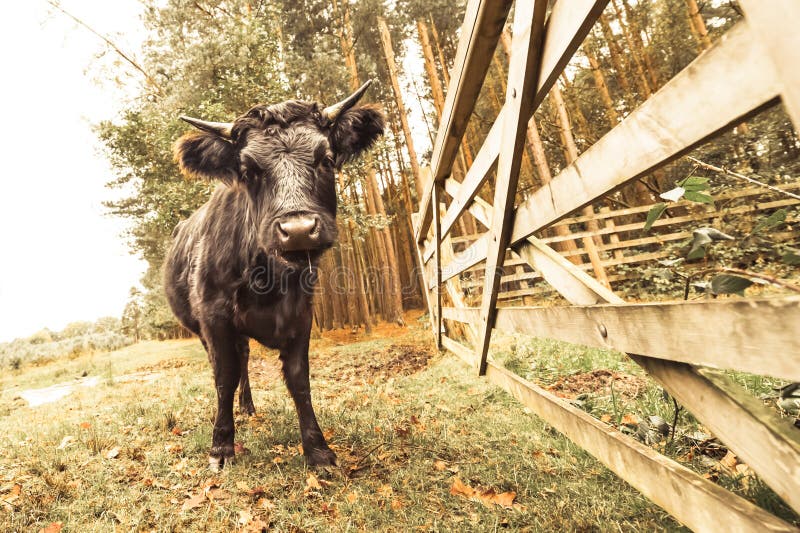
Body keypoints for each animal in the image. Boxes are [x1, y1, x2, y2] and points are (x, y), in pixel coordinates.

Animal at [164, 81, 383, 470]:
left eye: (326, 159)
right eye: (248, 170)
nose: (297, 230)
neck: (267, 280)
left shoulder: (301, 315)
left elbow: (298, 378)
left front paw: (318, 450)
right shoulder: (214, 317)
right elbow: (224, 376)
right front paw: (221, 447)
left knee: (244, 359)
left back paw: (248, 407)